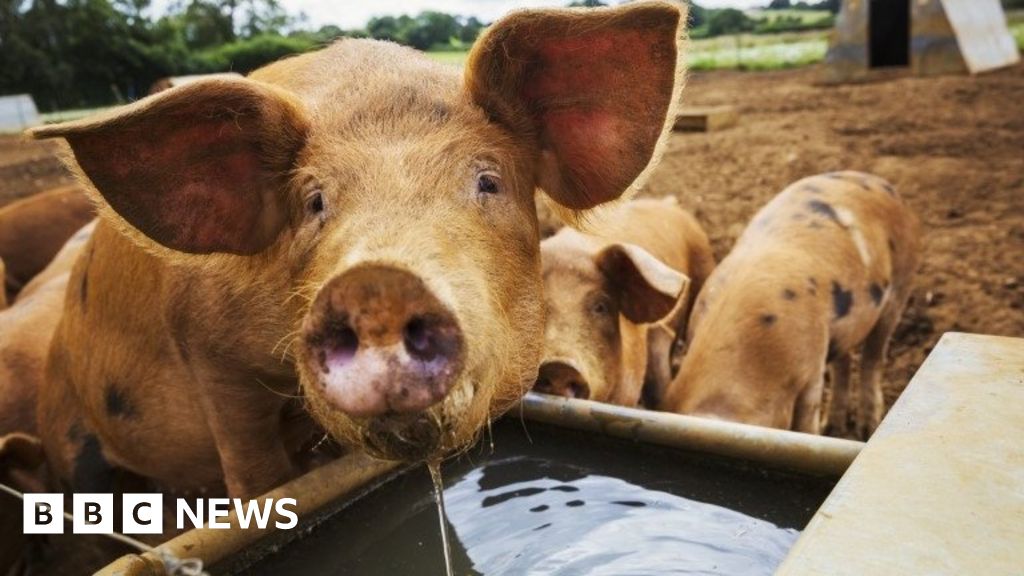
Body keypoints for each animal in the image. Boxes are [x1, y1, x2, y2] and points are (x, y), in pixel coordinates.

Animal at [660, 172, 921, 438]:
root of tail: (885, 185)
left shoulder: (813, 367)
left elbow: (805, 422)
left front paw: (813, 434)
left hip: (901, 283)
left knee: (873, 357)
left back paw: (866, 430)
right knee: (844, 361)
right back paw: (832, 428)